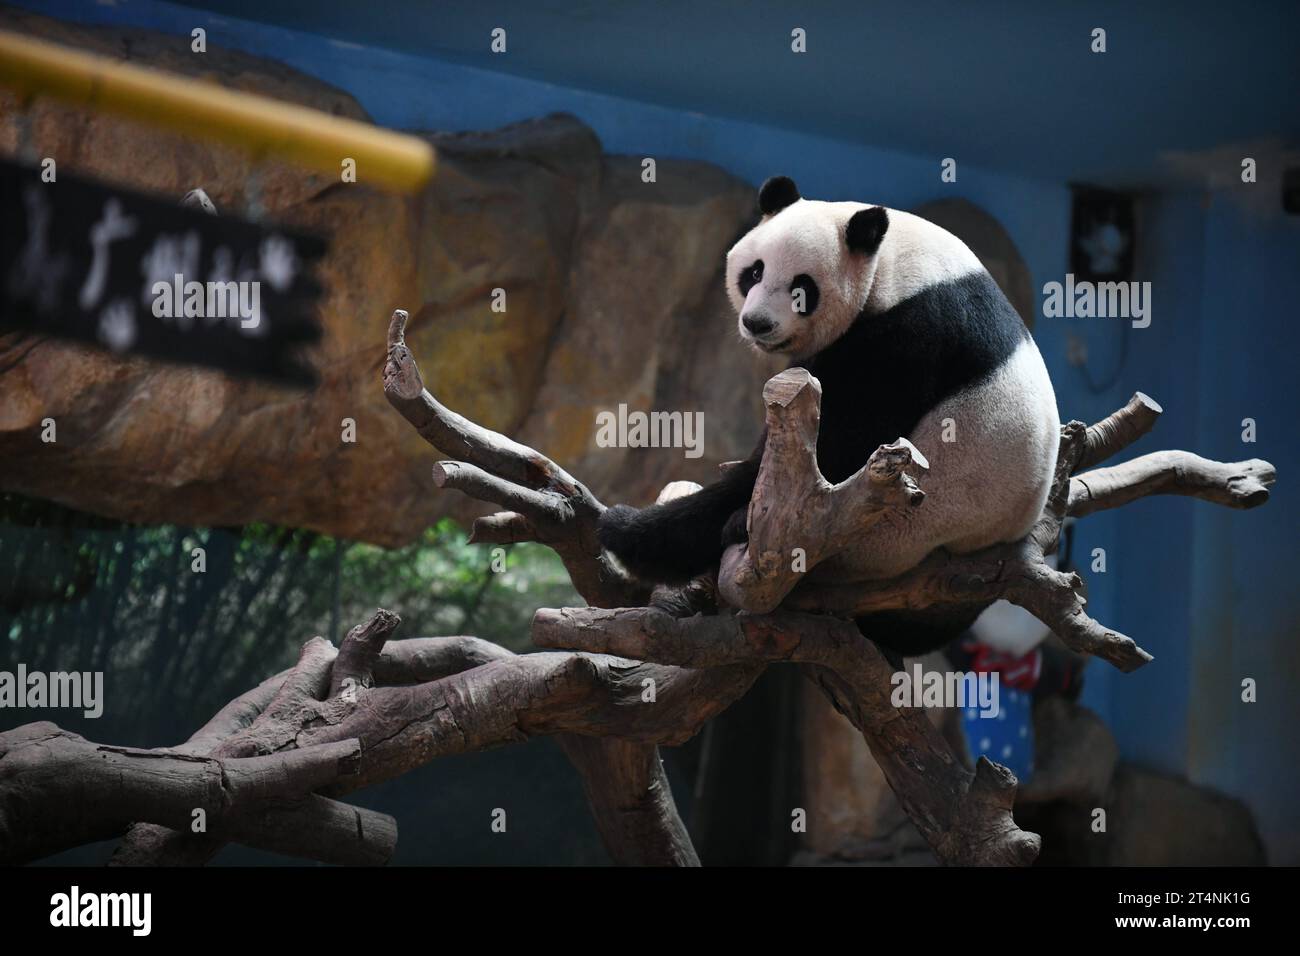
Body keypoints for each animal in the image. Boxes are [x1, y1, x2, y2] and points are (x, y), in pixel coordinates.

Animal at [598, 175, 1061, 659]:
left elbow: (844, 438)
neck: (888, 265)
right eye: (754, 272)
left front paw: (632, 530)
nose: (757, 323)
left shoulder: (914, 331)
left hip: (895, 529)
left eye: (801, 288)